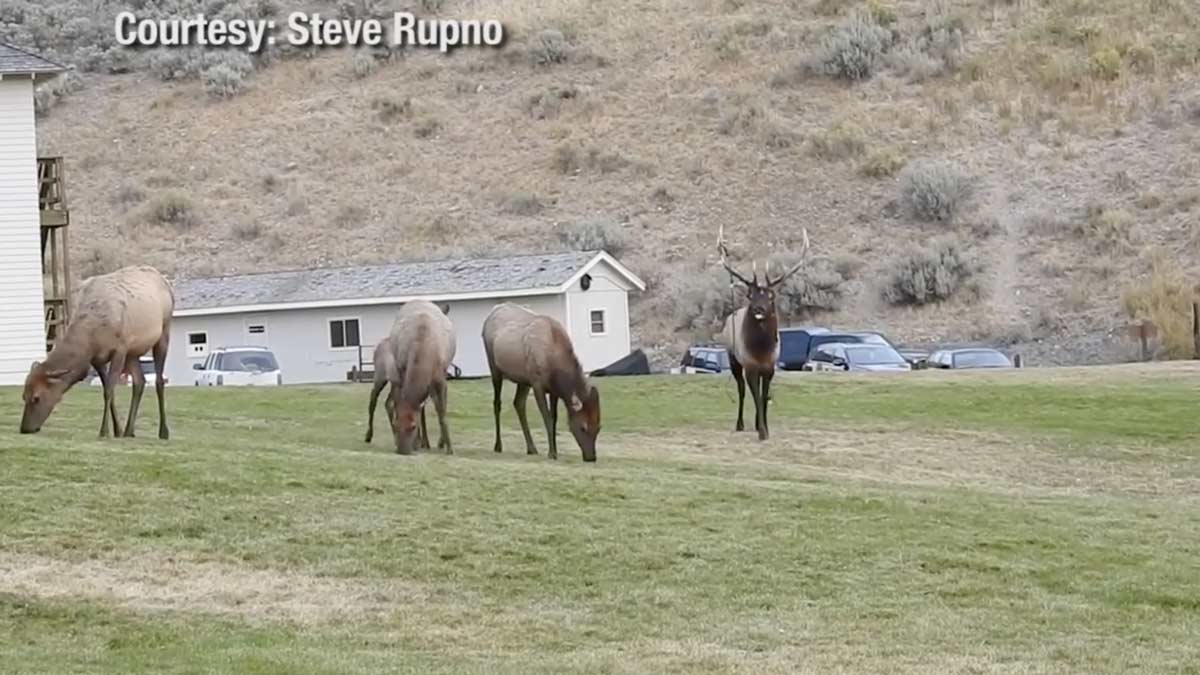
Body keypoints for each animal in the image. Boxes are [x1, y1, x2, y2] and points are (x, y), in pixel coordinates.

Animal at [20, 265, 175, 440]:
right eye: (23, 396)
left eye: (36, 398)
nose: (24, 428)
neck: (91, 336)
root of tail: (165, 281)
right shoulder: (98, 358)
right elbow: (108, 390)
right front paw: (117, 430)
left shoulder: (120, 349)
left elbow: (108, 390)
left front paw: (104, 431)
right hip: (132, 352)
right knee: (139, 381)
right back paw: (129, 430)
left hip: (164, 331)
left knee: (159, 381)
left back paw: (163, 431)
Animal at [385, 300, 456, 455]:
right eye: (395, 424)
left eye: (413, 426)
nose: (402, 450)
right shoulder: (402, 372)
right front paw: (418, 442)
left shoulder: (441, 379)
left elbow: (442, 413)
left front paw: (449, 447)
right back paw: (425, 442)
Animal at [481, 302, 600, 462]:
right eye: (583, 427)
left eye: (598, 427)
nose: (591, 457)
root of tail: (491, 314)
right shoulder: (537, 384)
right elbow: (547, 417)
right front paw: (552, 453)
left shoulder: (553, 390)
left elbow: (554, 418)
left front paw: (554, 450)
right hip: (494, 367)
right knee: (497, 403)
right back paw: (498, 445)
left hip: (523, 379)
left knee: (518, 403)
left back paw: (531, 448)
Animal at [715, 225, 809, 441]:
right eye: (751, 295)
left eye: (771, 295)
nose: (759, 309)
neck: (761, 349)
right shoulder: (750, 365)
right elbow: (756, 396)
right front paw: (762, 432)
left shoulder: (770, 367)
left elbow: (764, 397)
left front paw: (764, 426)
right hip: (733, 359)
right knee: (741, 390)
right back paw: (740, 424)